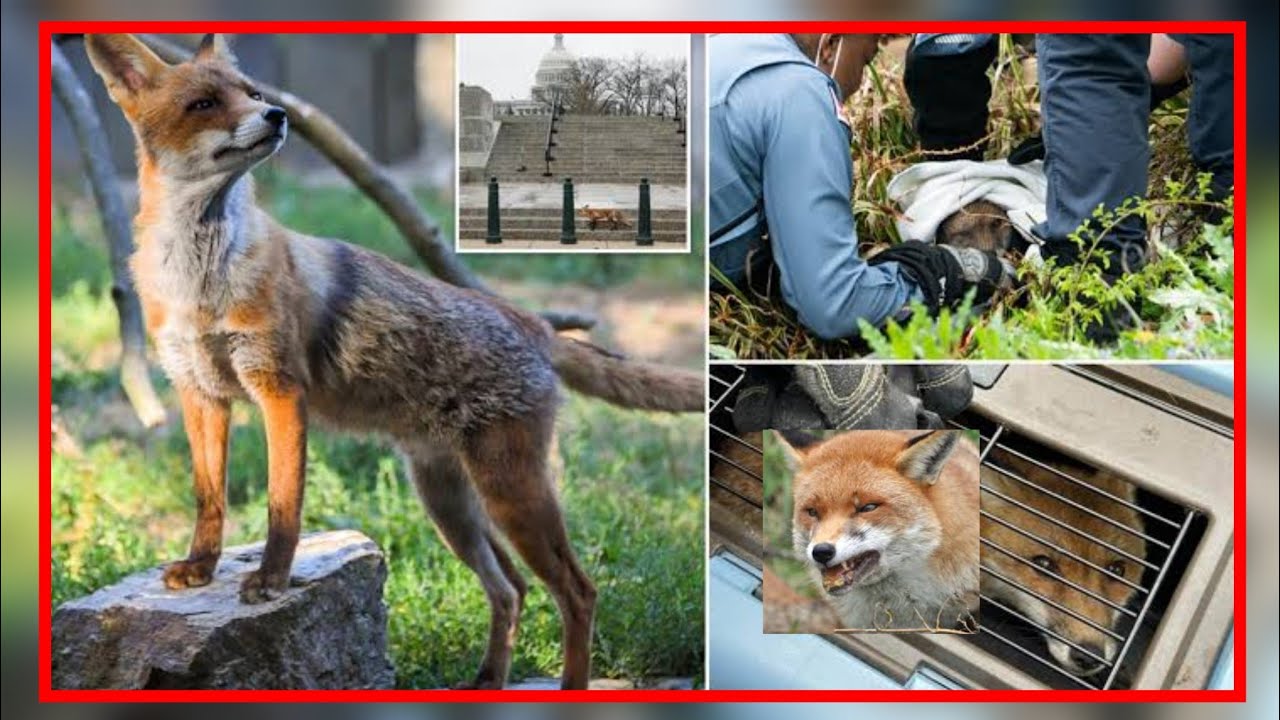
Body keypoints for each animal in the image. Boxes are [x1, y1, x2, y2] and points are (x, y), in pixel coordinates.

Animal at [83, 33, 703, 690]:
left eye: (251, 94)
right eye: (204, 103)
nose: (278, 115)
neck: (200, 279)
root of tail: (531, 321)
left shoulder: (279, 389)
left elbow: (282, 503)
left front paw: (272, 580)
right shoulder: (199, 391)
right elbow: (210, 499)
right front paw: (200, 568)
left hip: (510, 492)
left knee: (578, 591)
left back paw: (567, 684)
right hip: (450, 503)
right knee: (511, 589)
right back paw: (488, 680)